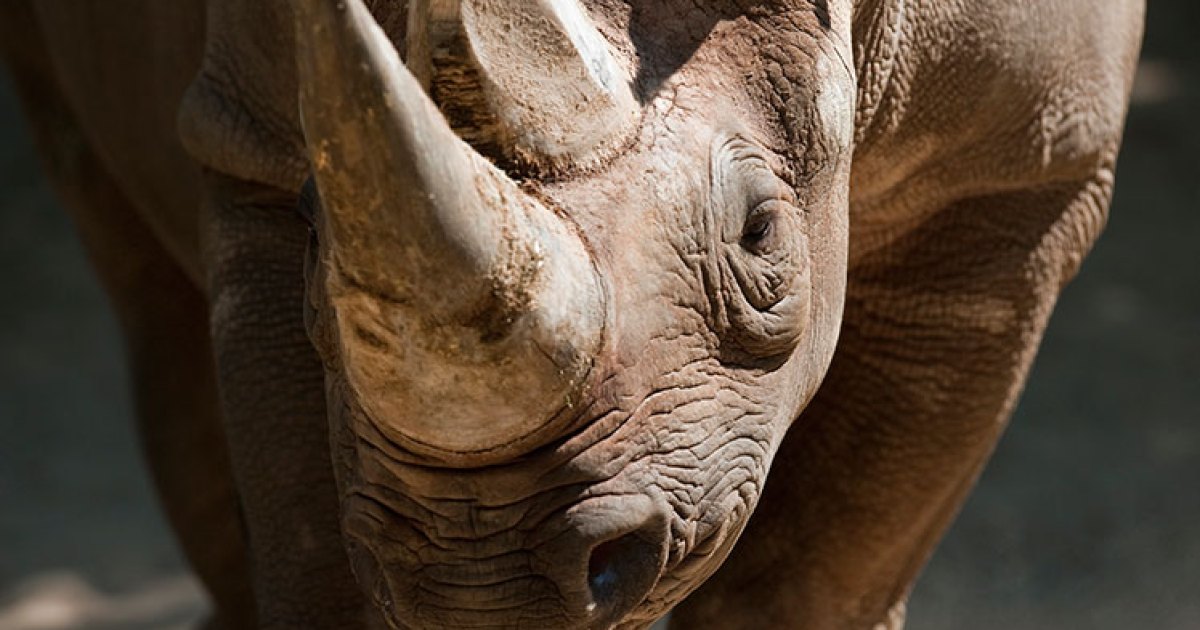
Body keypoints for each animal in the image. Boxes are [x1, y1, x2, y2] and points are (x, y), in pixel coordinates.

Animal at [0, 0, 1144, 628]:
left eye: (762, 237)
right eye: (318, 228)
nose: (479, 577)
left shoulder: (1019, 173)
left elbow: (816, 579)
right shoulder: (252, 148)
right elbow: (316, 561)